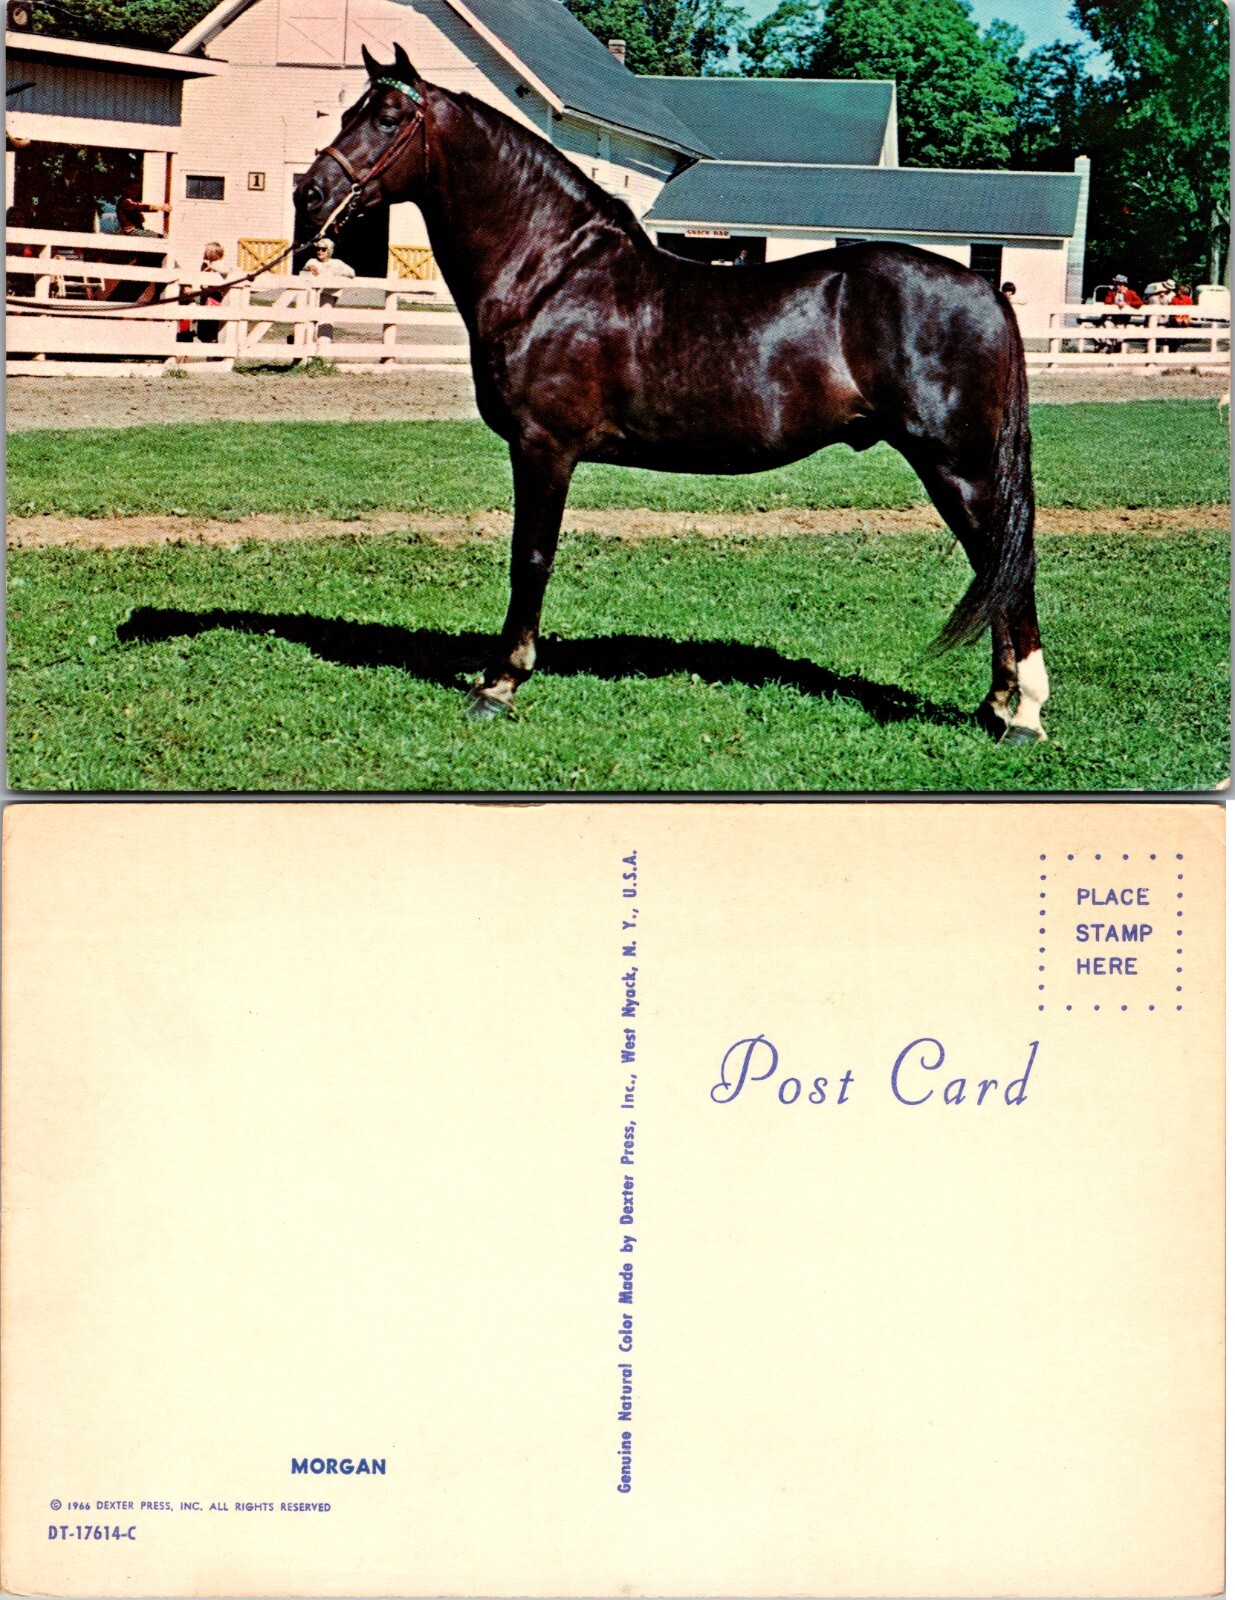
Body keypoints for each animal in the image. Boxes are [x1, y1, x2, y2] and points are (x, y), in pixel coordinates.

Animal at [294, 43, 1049, 742]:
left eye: (388, 118)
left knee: (1008, 564)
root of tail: (985, 287)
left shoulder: (543, 448)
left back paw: (1025, 714)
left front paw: (499, 684)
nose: (309, 194)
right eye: (346, 111)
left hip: (957, 467)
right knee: (996, 567)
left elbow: (529, 559)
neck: (550, 273)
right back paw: (996, 704)